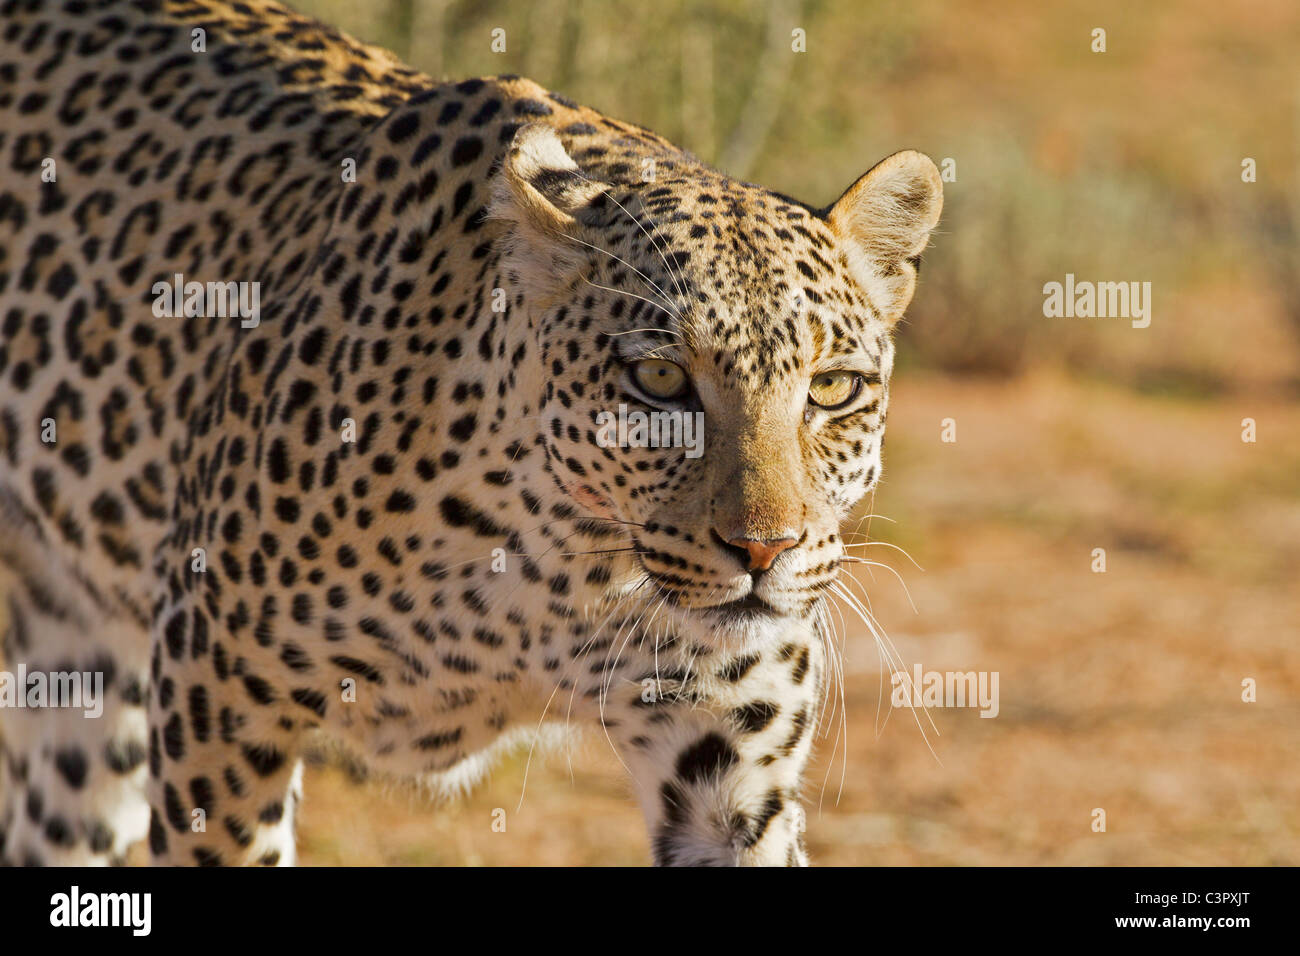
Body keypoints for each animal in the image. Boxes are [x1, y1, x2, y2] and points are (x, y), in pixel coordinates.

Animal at [0, 0, 942, 866]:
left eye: (833, 388)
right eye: (661, 380)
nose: (763, 552)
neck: (570, 571)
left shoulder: (729, 763)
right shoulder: (218, 692)